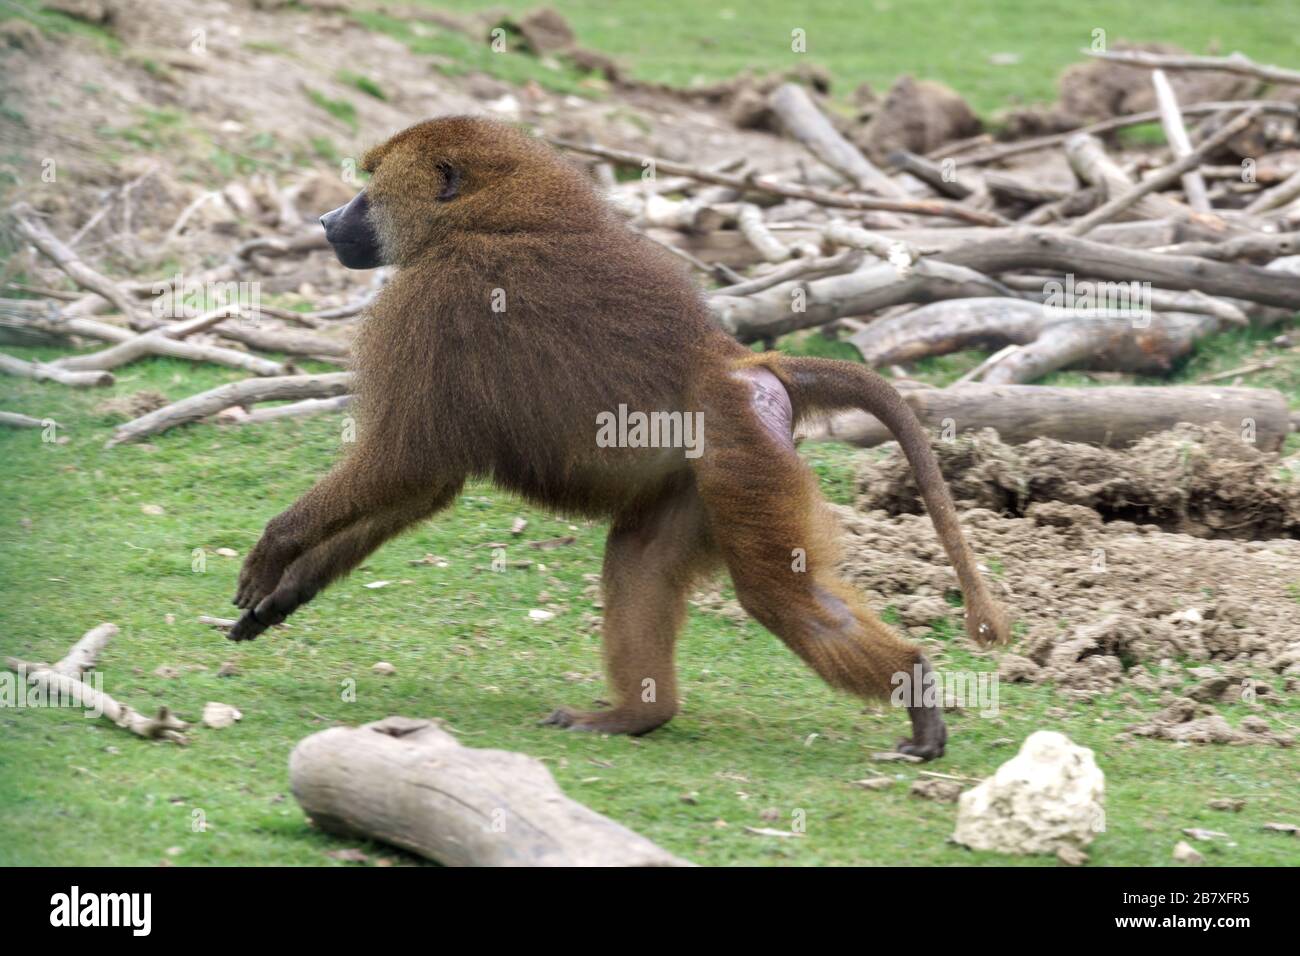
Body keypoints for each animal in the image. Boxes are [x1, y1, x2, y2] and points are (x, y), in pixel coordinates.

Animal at [230, 116, 1009, 760]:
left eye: (369, 188)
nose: (327, 218)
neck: (486, 221)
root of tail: (740, 364)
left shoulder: (425, 304)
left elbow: (405, 464)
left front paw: (272, 553)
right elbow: (420, 485)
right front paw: (286, 594)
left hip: (743, 455)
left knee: (777, 596)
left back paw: (913, 685)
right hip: (708, 475)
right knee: (638, 562)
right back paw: (639, 716)